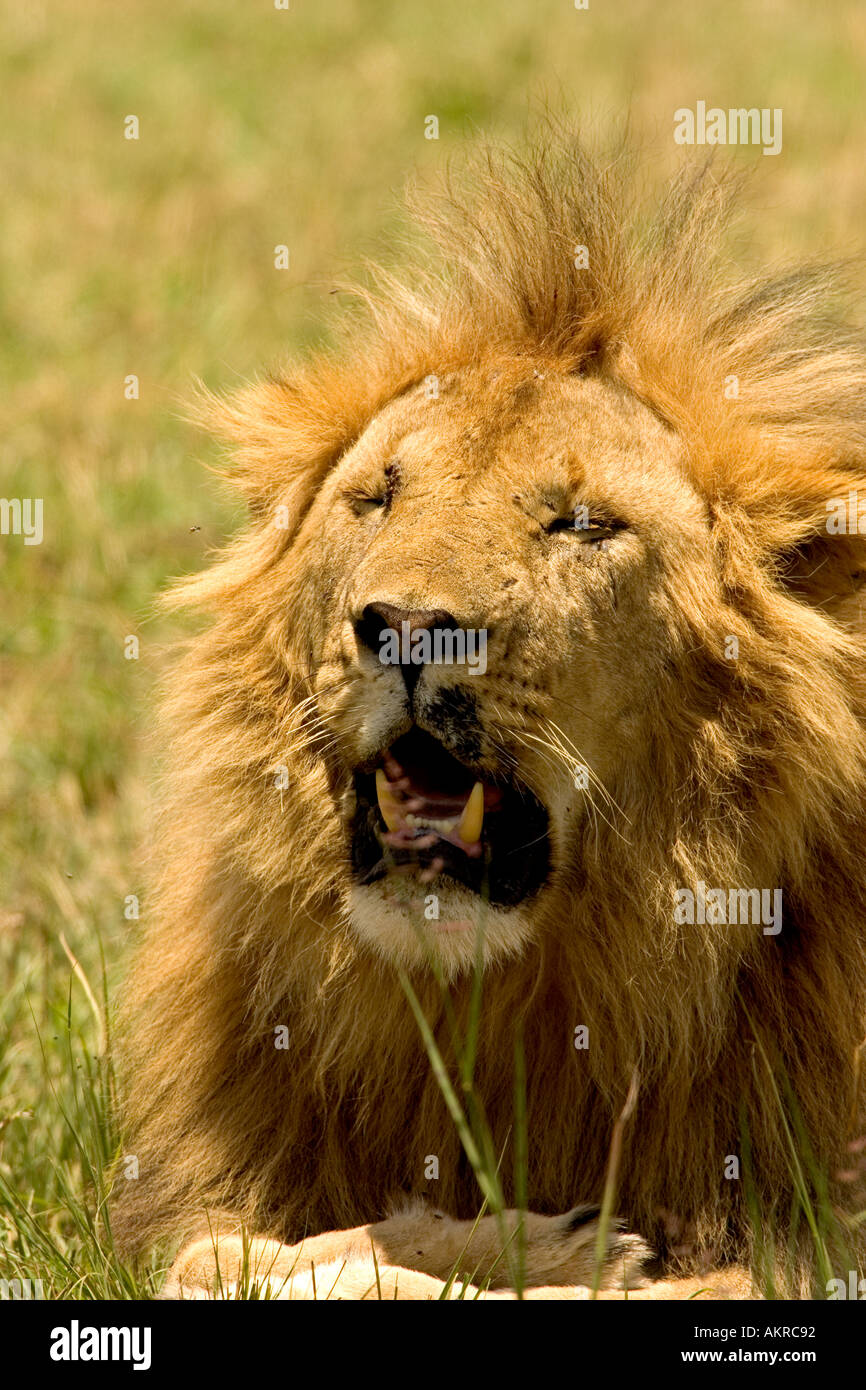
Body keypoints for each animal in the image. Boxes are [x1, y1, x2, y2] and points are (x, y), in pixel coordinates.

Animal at [113, 136, 866, 1300]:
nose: (413, 629)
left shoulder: (813, 1234)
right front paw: (532, 1242)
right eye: (377, 495)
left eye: (584, 524)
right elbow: (218, 1254)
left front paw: (565, 1258)